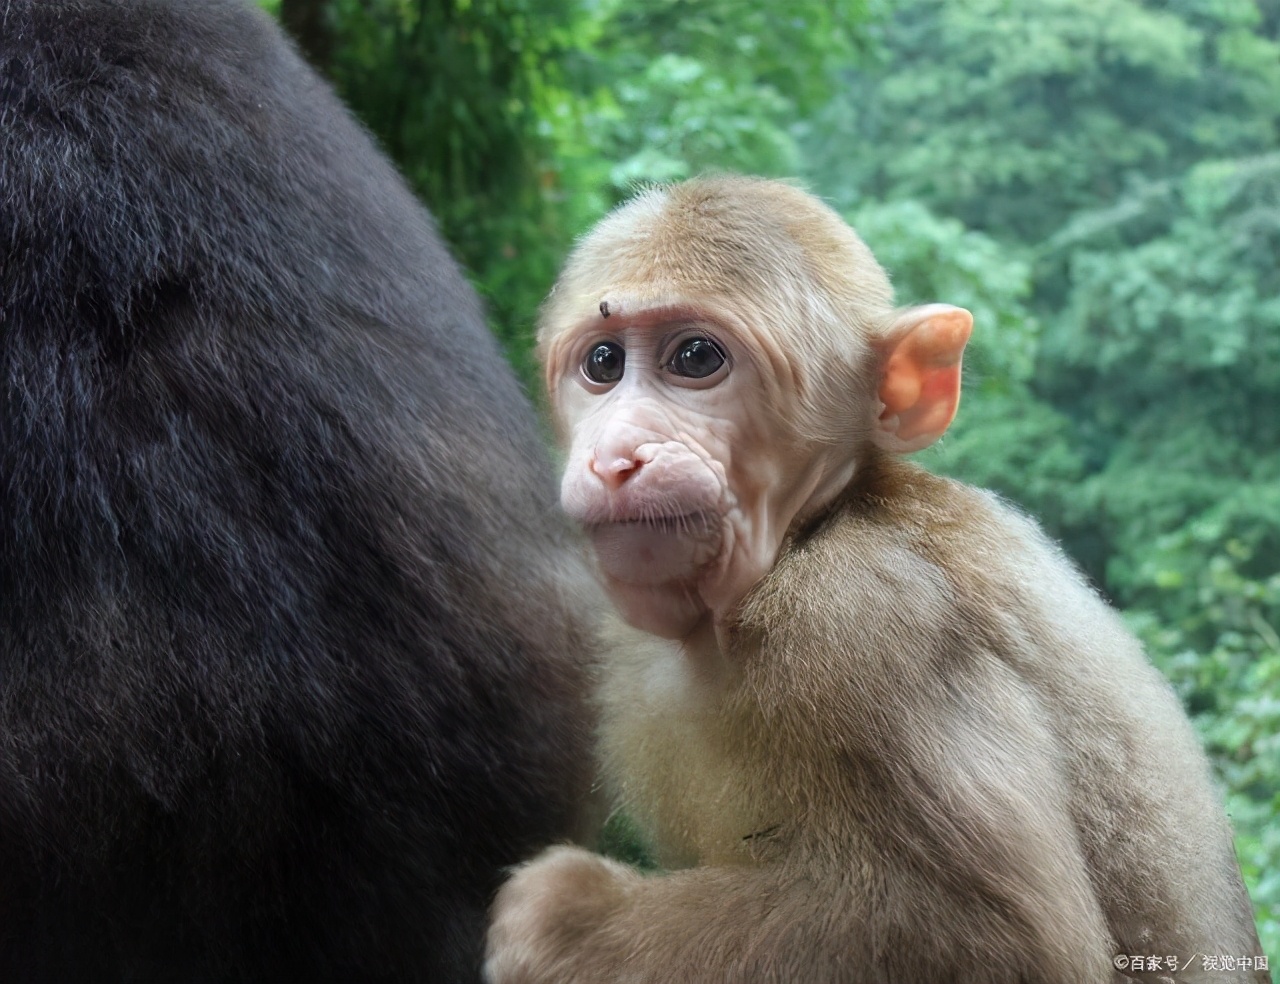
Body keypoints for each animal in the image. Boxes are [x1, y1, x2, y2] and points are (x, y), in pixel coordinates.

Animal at [484, 176, 1270, 984]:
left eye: (696, 358)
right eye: (603, 363)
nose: (616, 457)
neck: (805, 533)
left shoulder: (869, 620)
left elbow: (1010, 942)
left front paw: (565, 920)